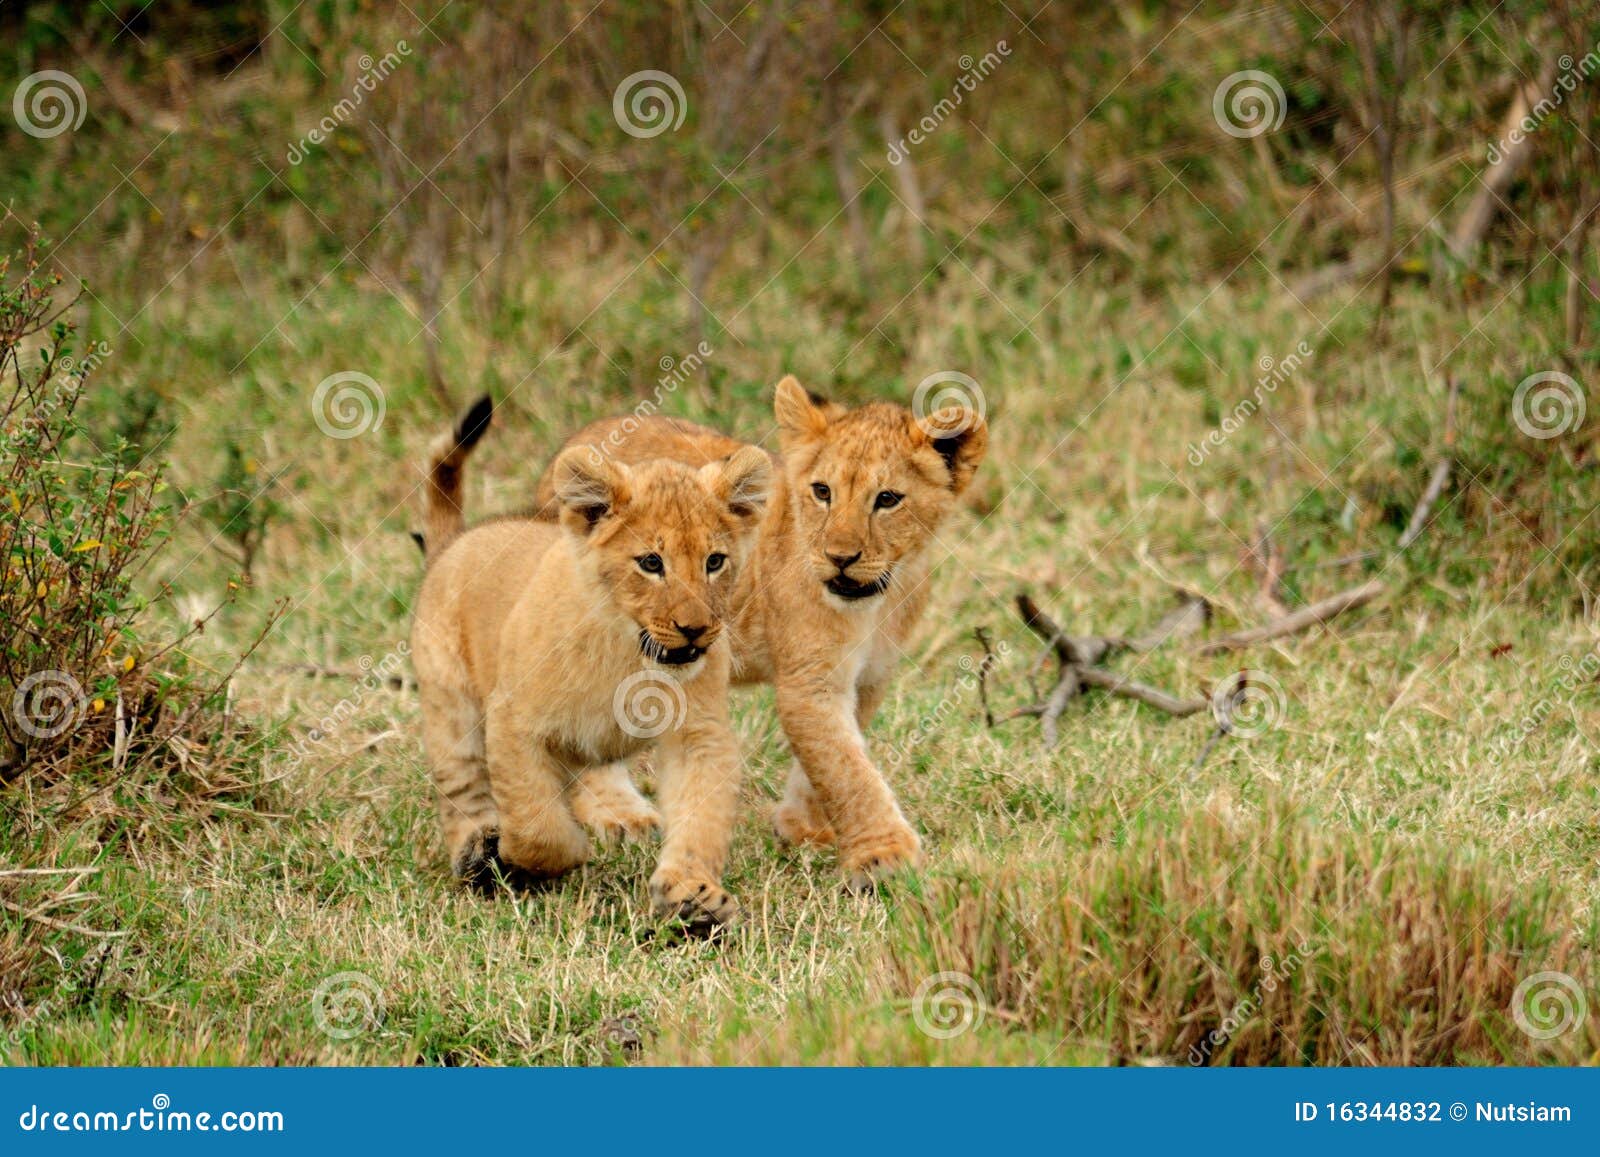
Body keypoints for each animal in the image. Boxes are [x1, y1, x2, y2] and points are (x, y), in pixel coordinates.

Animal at [410, 396, 772, 930]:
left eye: (714, 561)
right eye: (651, 563)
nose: (694, 628)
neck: (630, 656)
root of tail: (456, 543)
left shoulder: (699, 735)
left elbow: (699, 819)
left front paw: (694, 897)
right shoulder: (513, 723)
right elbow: (537, 823)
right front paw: (537, 857)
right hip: (451, 705)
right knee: (463, 788)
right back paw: (476, 855)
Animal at [534, 376, 988, 890]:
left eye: (888, 499)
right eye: (823, 491)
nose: (840, 558)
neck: (881, 600)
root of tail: (573, 446)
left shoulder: (870, 678)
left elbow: (829, 760)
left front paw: (804, 828)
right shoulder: (809, 681)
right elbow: (847, 769)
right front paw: (884, 854)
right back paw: (618, 812)